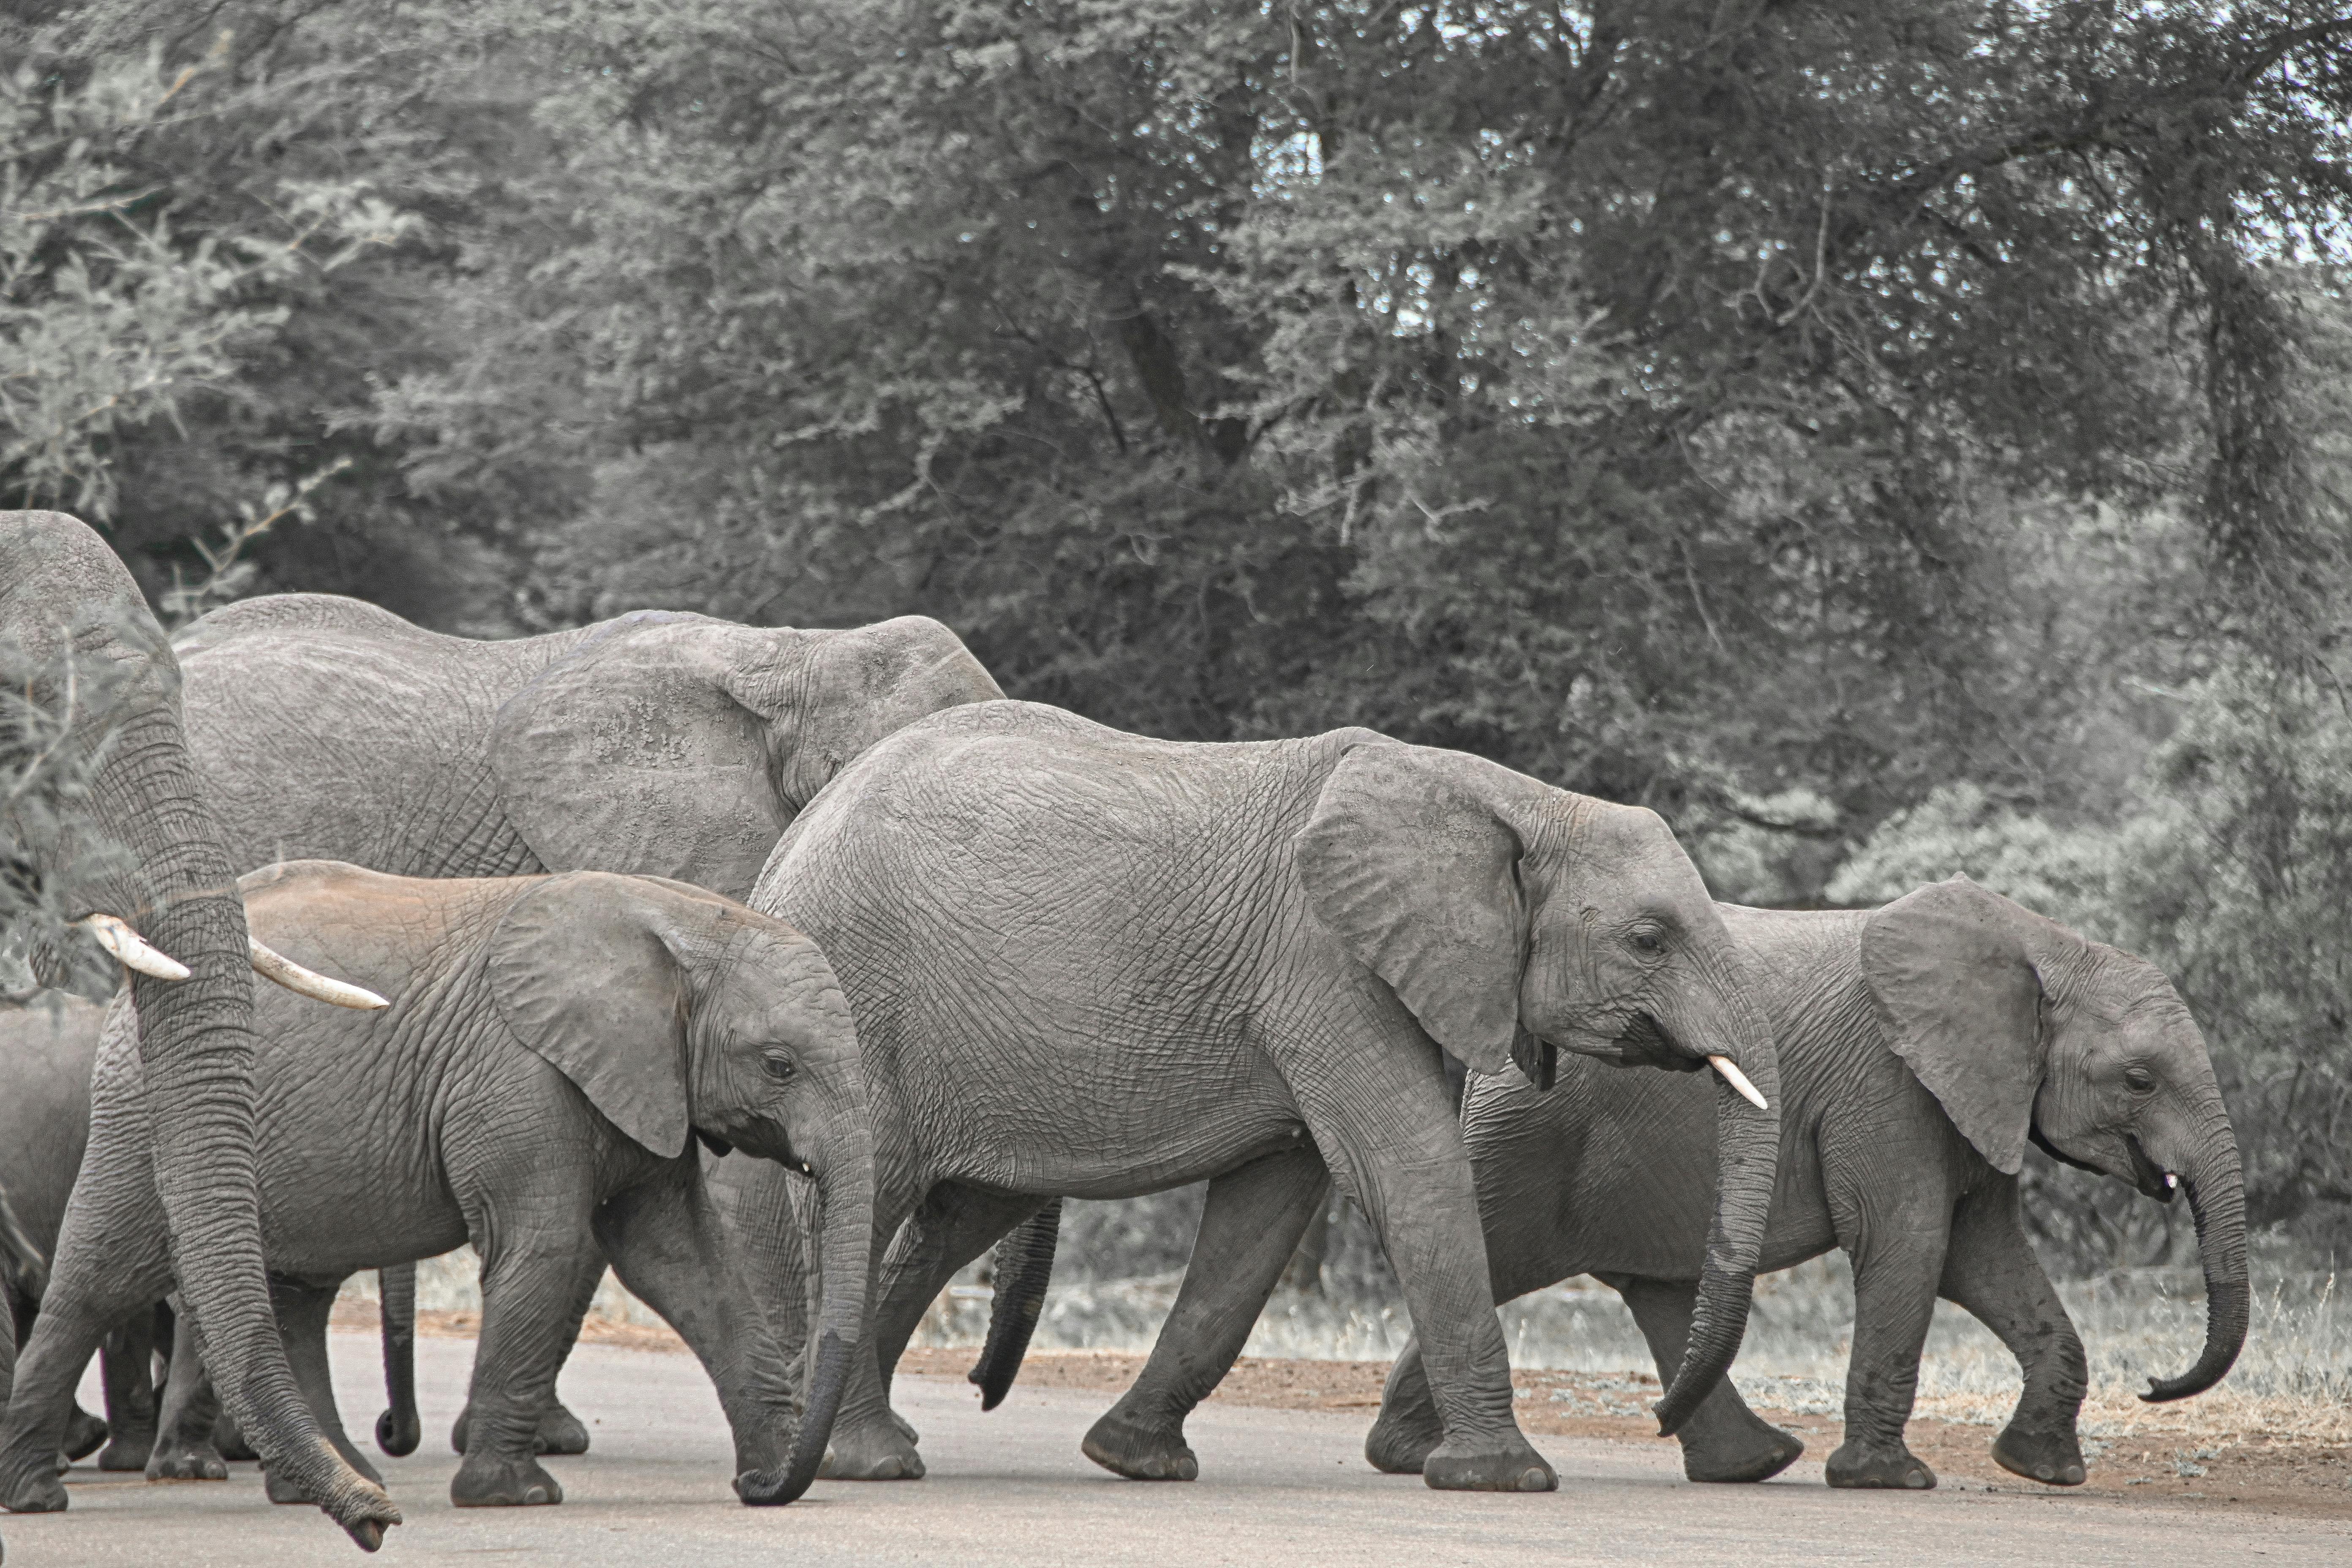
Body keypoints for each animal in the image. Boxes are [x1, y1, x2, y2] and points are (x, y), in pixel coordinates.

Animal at [0, 860, 877, 1512]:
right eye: (779, 1065)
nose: (760, 1484)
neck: (685, 921)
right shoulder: (520, 1077)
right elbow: (550, 1250)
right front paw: (514, 1495)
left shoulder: (646, 1085)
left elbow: (685, 1264)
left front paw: (771, 1476)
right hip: (142, 1113)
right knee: (104, 1275)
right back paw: (38, 1493)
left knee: (295, 1295)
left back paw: (338, 1484)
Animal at [742, 700, 1784, 1492]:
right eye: (1649, 939)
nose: (1657, 1420)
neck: (1511, 799)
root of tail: (792, 839)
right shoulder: (1326, 966)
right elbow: (1407, 1170)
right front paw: (1506, 1477)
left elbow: (1265, 1212)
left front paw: (1134, 1460)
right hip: (861, 1004)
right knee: (873, 1200)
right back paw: (869, 1461)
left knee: (956, 1215)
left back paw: (846, 1441)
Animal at [1088, 877, 2240, 1491]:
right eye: (2140, 1079)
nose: (2157, 1381)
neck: (2042, 944)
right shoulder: (1890, 1085)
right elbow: (1909, 1245)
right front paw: (1891, 1483)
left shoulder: (1971, 1099)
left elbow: (1984, 1259)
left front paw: (2046, 1473)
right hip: (1528, 1137)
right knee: (1499, 1257)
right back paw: (1422, 1453)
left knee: (1656, 1287)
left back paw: (1747, 1461)